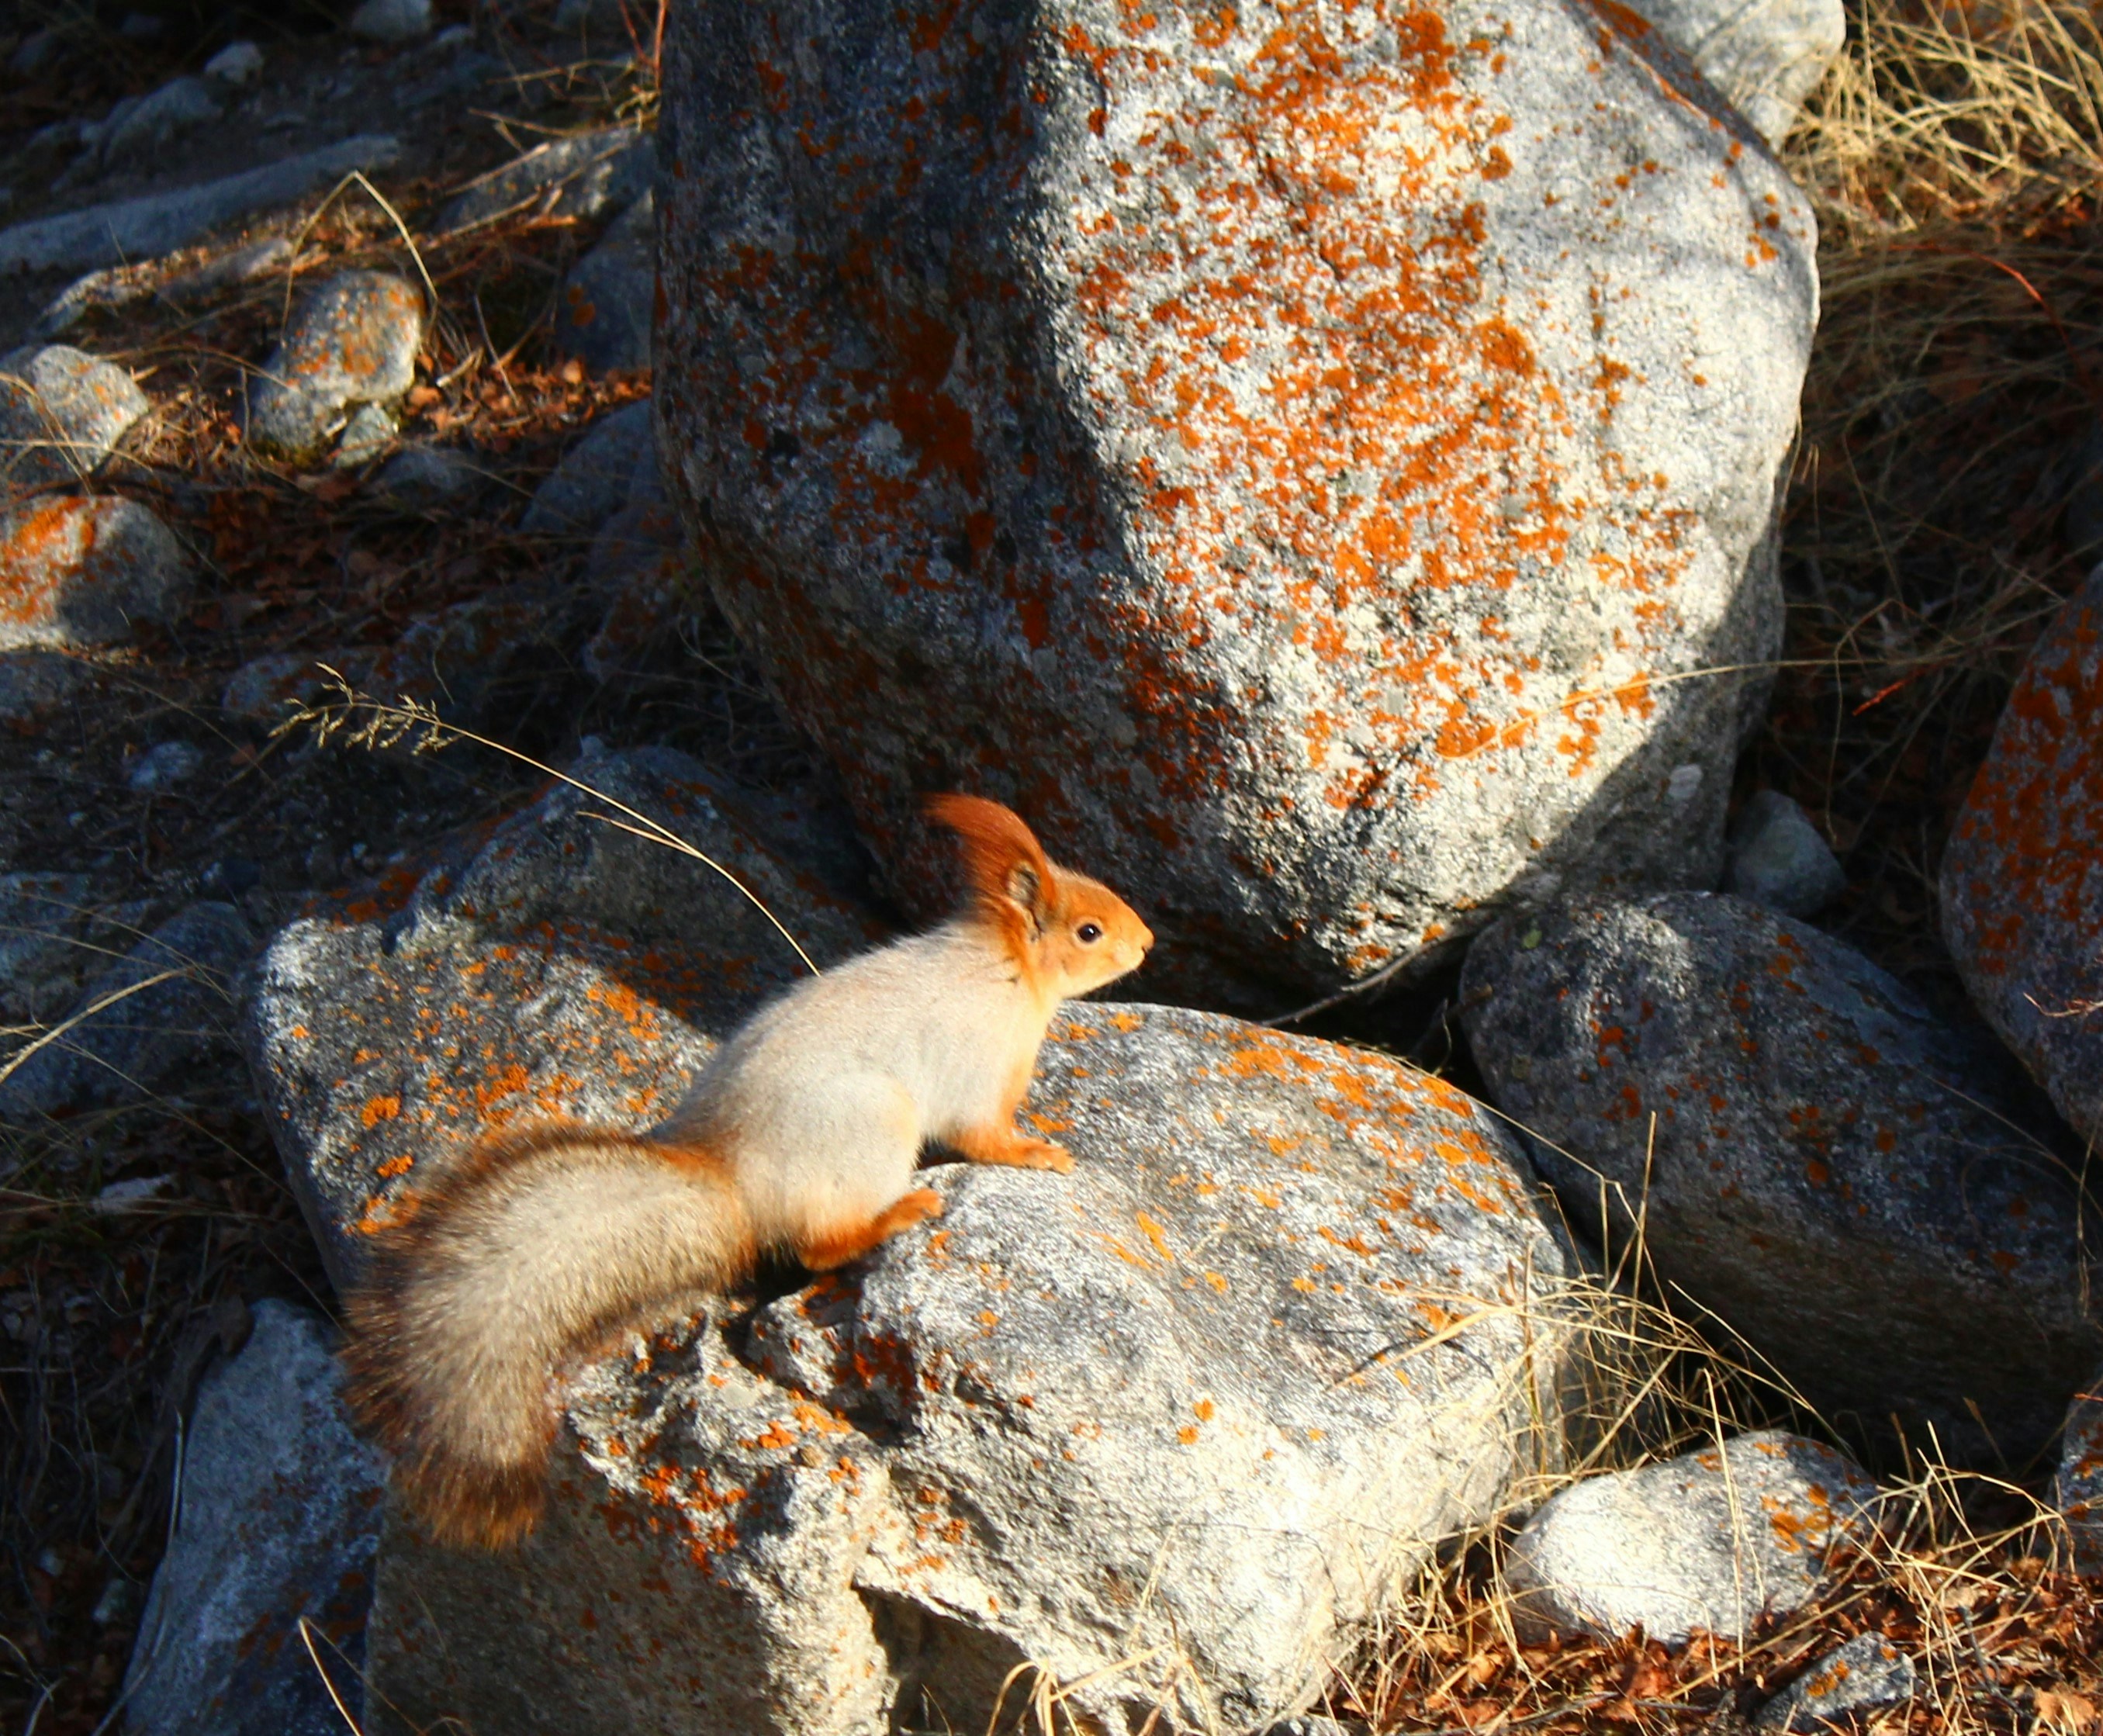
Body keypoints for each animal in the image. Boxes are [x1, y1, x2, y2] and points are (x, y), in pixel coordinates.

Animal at [341, 794, 1153, 1550]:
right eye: (1088, 930)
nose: (1147, 941)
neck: (1006, 966)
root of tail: (731, 1177)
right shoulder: (980, 1074)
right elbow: (985, 1136)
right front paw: (1041, 1150)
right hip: (871, 1127)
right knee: (821, 1248)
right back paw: (898, 1213)